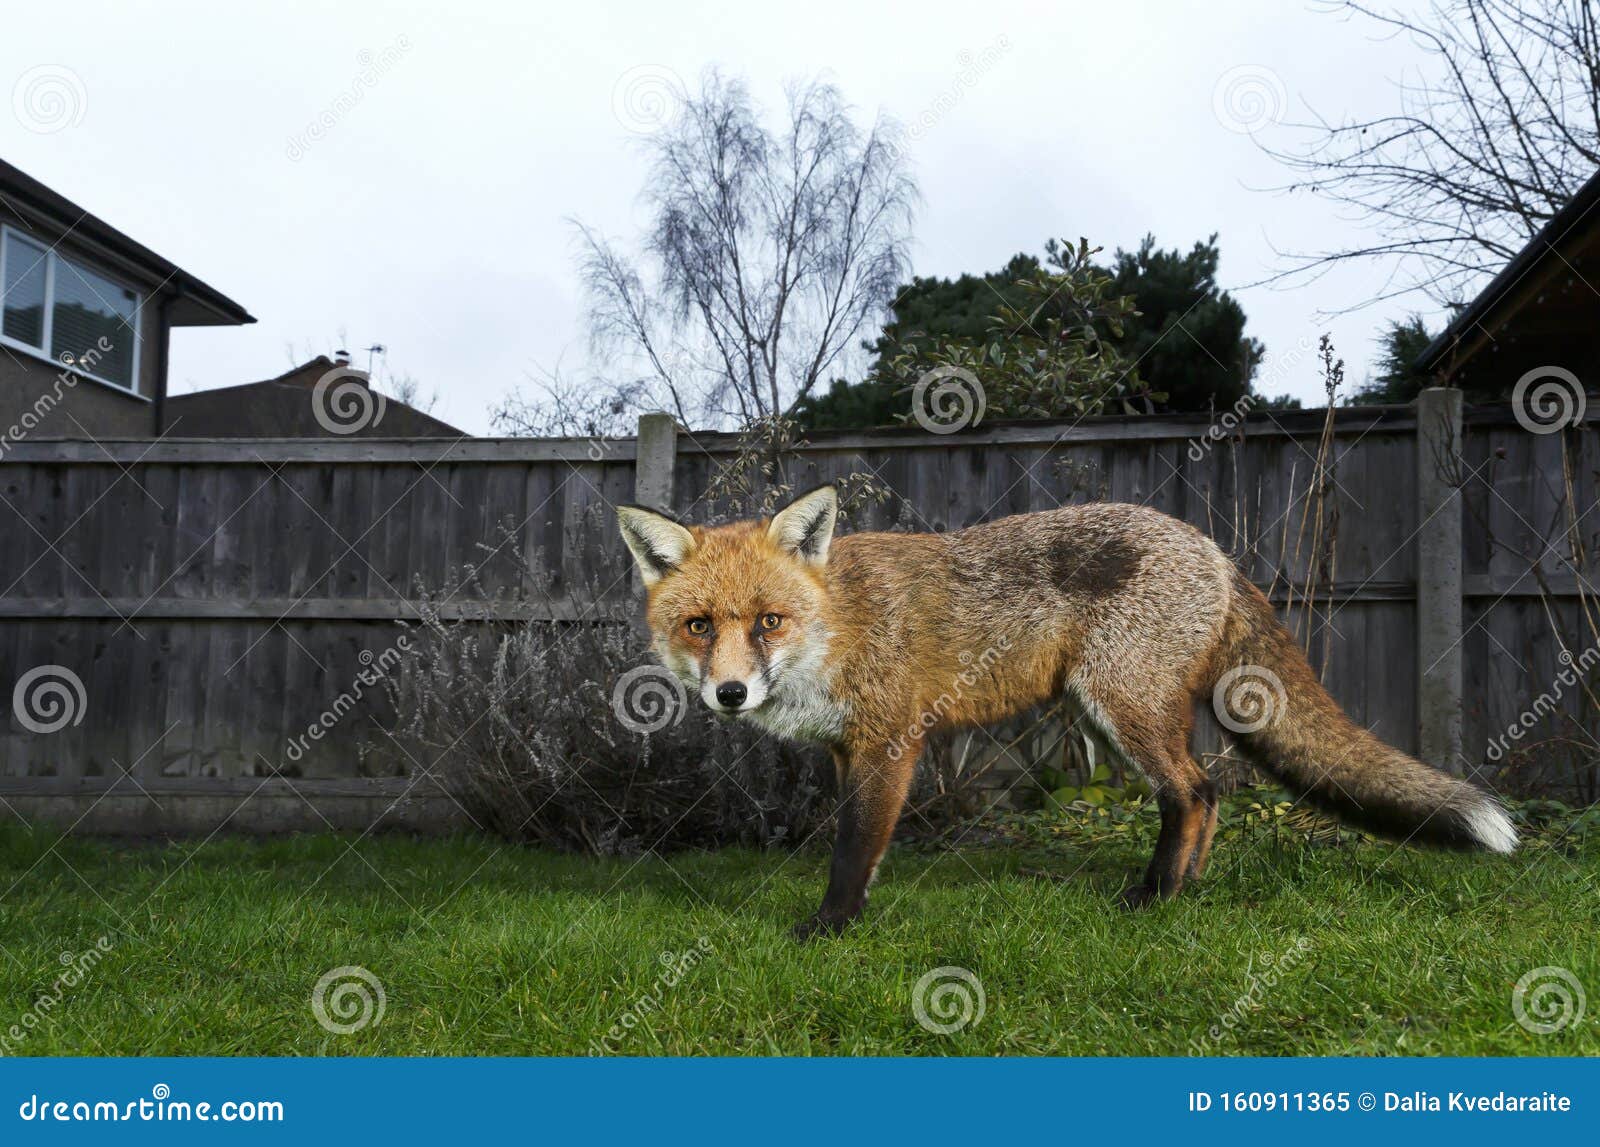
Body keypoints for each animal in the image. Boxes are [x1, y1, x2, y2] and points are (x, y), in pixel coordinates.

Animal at [616, 485, 1517, 939]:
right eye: (699, 626)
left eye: (769, 620)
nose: (730, 694)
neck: (837, 623)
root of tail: (1214, 548)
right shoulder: (848, 749)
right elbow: (858, 849)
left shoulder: (889, 743)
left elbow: (850, 852)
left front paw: (830, 929)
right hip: (1107, 713)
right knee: (1203, 795)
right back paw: (1183, 891)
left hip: (1120, 707)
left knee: (1196, 792)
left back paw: (1154, 900)